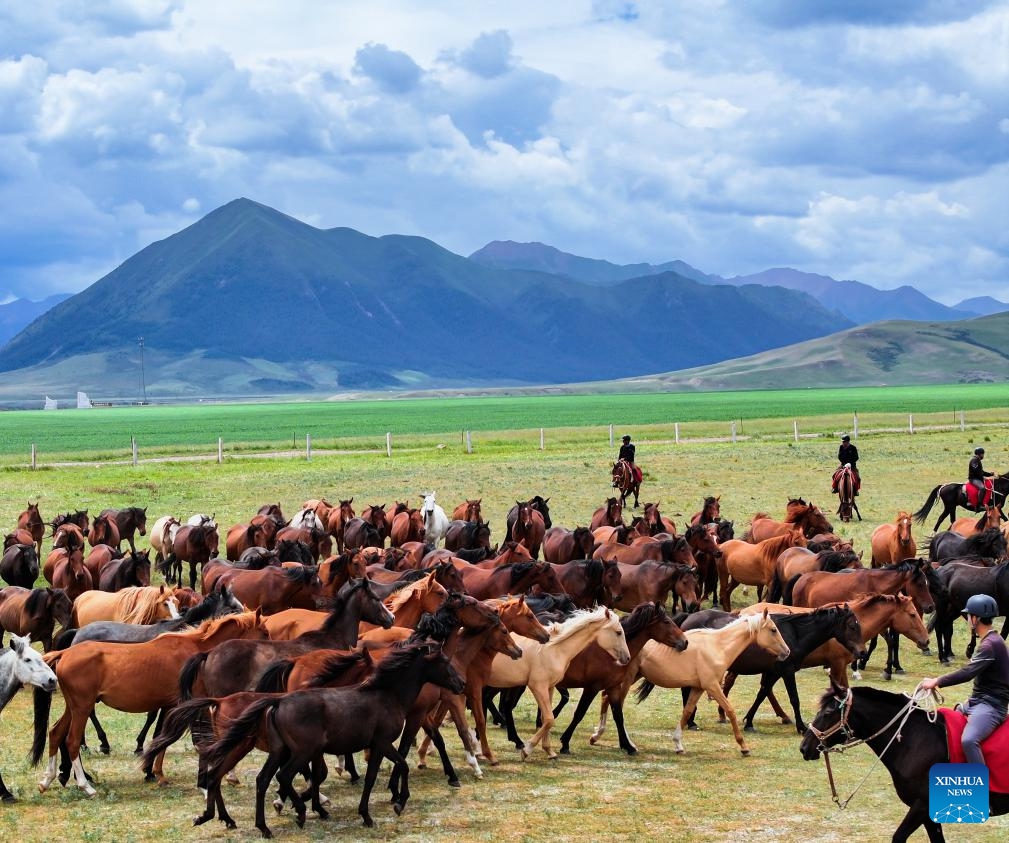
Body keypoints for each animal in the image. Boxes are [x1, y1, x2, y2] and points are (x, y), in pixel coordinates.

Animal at [800, 683, 1009, 842]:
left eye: (828, 712)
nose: (804, 746)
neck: (915, 740)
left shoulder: (922, 806)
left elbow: (898, 837)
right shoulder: (929, 815)